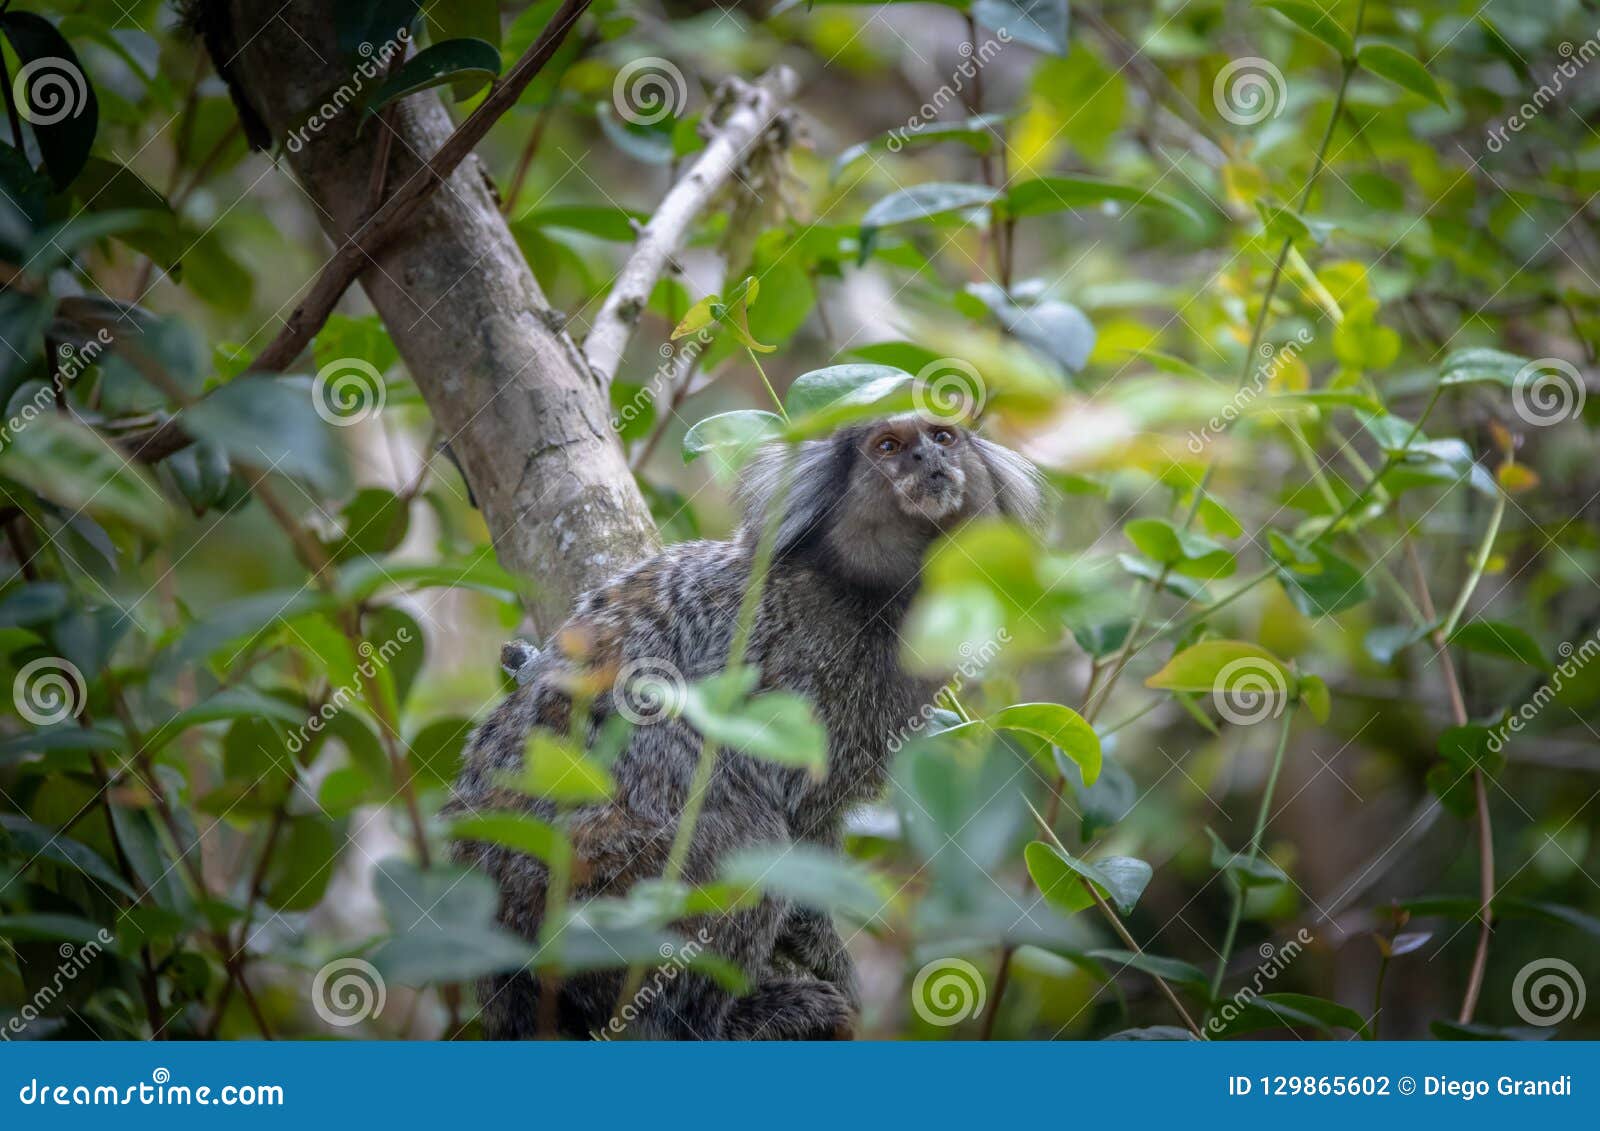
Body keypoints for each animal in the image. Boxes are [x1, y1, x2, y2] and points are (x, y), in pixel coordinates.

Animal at [449, 414, 1043, 1039]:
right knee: (738, 830)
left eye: (943, 436)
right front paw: (827, 950)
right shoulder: (806, 673)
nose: (929, 457)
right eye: (889, 447)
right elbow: (799, 820)